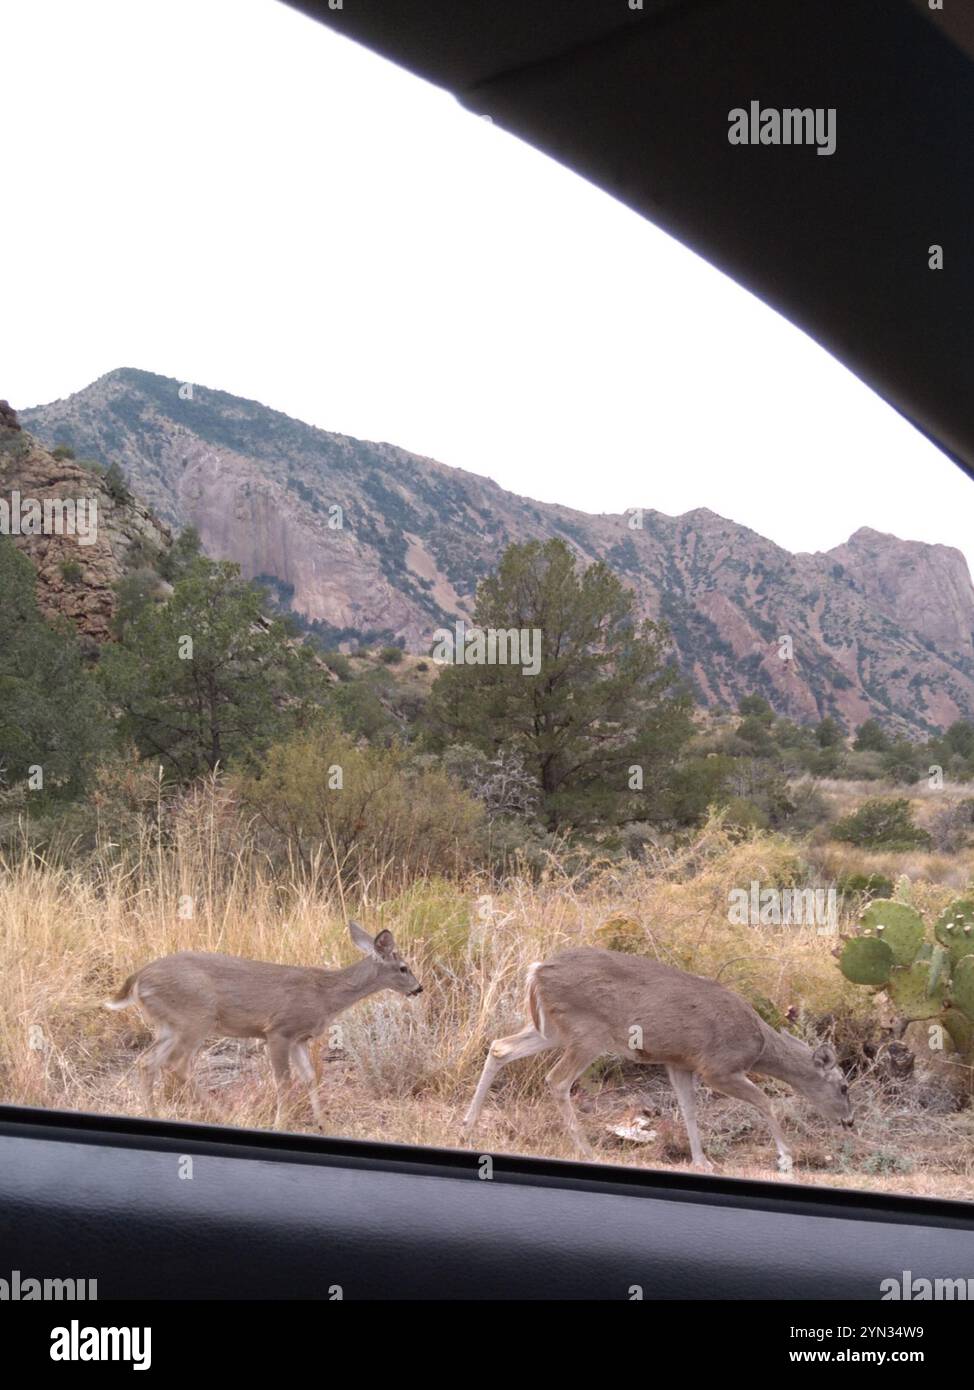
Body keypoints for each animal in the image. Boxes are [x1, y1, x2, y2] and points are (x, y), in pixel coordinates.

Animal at [104, 921, 422, 1127]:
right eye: (403, 968)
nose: (418, 988)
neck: (326, 996)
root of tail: (139, 978)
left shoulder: (299, 1038)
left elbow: (310, 1077)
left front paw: (324, 1125)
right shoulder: (279, 1029)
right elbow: (284, 1081)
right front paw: (280, 1124)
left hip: (169, 1024)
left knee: (147, 1061)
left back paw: (153, 1113)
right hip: (195, 1018)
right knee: (176, 1064)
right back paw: (222, 1115)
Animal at [461, 947, 853, 1174]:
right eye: (844, 1086)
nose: (849, 1121)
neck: (759, 1045)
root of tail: (537, 968)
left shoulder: (680, 1063)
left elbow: (689, 1109)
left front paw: (702, 1161)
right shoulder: (718, 1067)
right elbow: (765, 1101)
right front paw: (786, 1157)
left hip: (553, 1029)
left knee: (500, 1047)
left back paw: (468, 1124)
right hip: (587, 1032)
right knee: (556, 1080)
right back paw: (586, 1149)